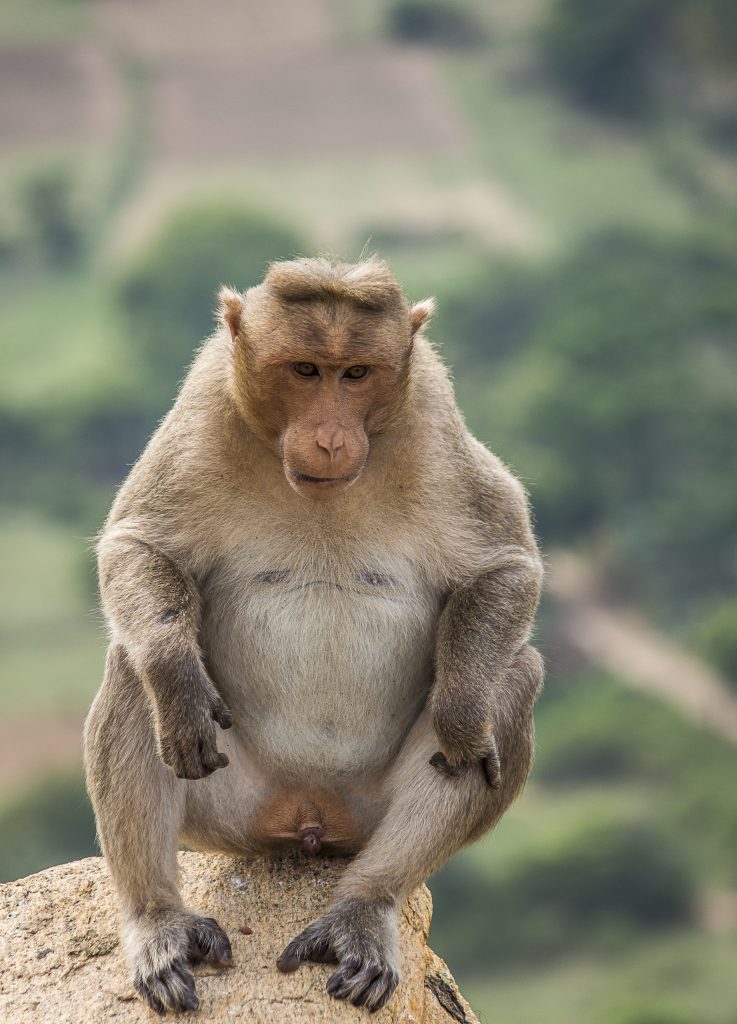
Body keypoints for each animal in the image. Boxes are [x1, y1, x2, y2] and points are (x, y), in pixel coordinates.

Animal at [83, 256, 544, 1016]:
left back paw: (364, 909)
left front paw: (458, 709)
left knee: (515, 675)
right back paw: (159, 921)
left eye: (355, 373)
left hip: (363, 817)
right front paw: (176, 678)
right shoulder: (209, 398)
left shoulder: (430, 412)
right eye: (304, 370)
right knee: (130, 667)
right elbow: (138, 546)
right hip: (228, 809)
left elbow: (505, 567)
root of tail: (308, 816)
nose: (329, 436)